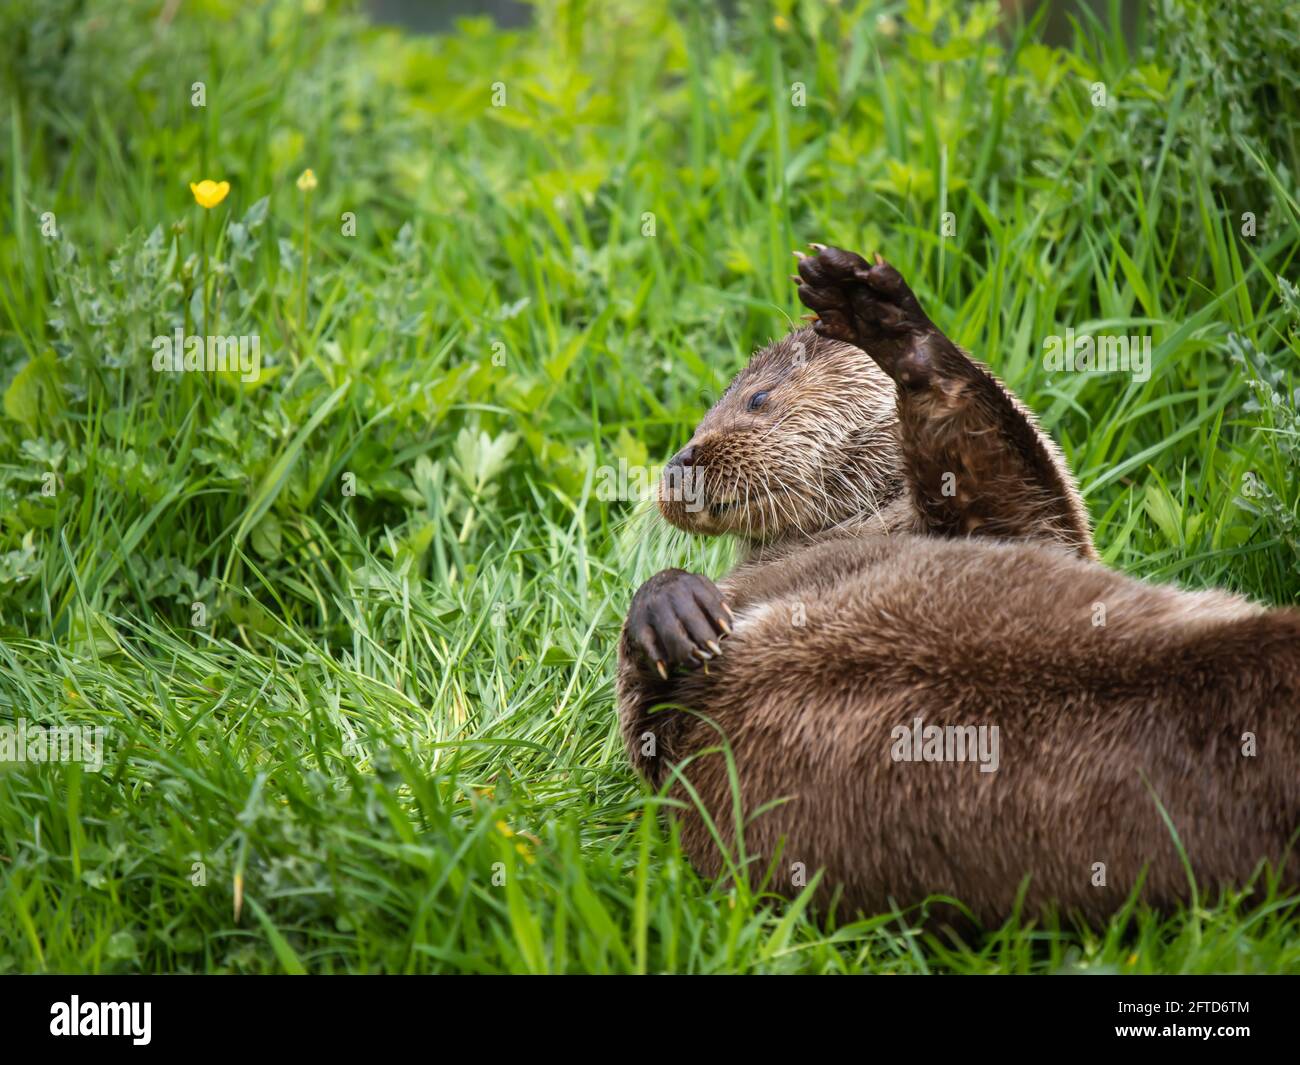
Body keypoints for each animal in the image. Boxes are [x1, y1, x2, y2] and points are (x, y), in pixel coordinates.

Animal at [616, 244, 1300, 927]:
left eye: (756, 399)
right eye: (701, 418)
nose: (680, 460)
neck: (852, 526)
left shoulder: (1040, 530)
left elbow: (1006, 467)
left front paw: (881, 315)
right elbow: (642, 715)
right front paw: (675, 609)